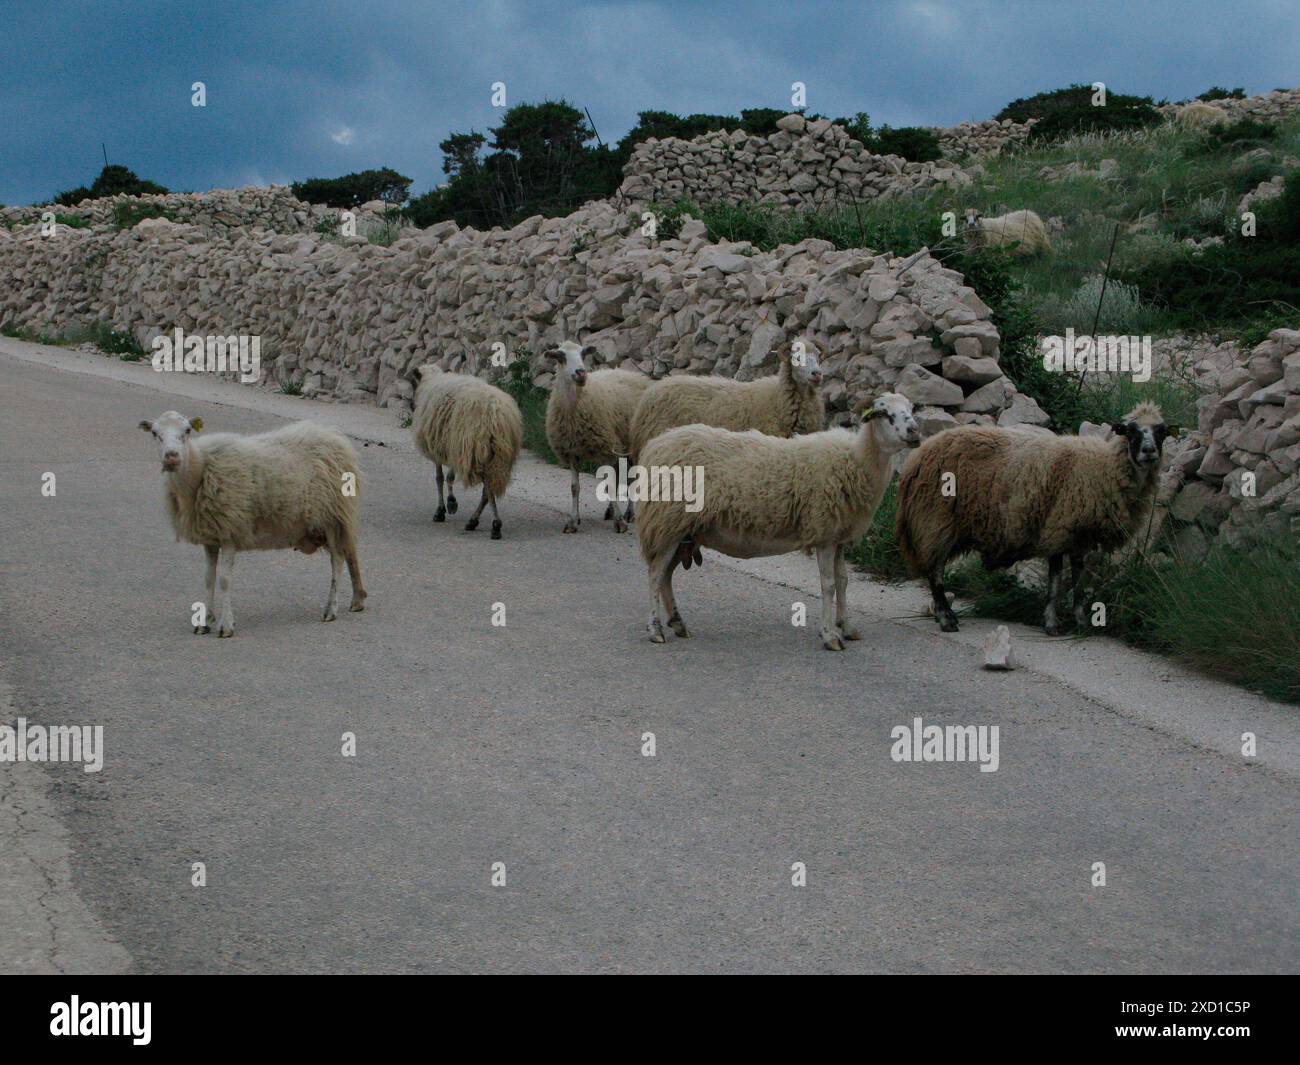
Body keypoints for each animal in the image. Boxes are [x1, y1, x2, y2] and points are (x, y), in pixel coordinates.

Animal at [138, 411, 366, 638]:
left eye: (187, 431)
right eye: (155, 433)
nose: (171, 457)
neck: (200, 468)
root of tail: (333, 434)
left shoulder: (230, 531)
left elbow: (224, 580)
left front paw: (225, 625)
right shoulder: (211, 536)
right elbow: (208, 578)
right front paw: (204, 620)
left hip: (332, 516)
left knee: (337, 560)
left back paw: (331, 609)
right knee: (347, 554)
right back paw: (356, 600)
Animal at [411, 366, 523, 540]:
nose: (410, 405)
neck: (430, 382)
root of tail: (498, 416)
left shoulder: (441, 448)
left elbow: (439, 478)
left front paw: (442, 510)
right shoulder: (455, 447)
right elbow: (449, 476)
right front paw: (451, 503)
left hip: (480, 453)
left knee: (488, 490)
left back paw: (494, 525)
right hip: (498, 457)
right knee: (487, 492)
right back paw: (474, 521)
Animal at [544, 341, 654, 533]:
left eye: (583, 354)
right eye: (560, 356)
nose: (581, 373)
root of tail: (630, 373)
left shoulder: (604, 448)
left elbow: (609, 485)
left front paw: (620, 522)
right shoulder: (572, 452)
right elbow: (575, 488)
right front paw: (573, 521)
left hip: (634, 443)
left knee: (633, 478)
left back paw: (629, 513)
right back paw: (610, 511)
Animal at [636, 393, 920, 650]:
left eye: (910, 408)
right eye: (884, 413)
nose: (915, 431)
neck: (857, 459)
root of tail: (656, 445)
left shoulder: (839, 536)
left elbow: (843, 581)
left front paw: (847, 627)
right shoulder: (824, 533)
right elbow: (828, 585)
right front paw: (829, 635)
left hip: (683, 531)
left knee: (665, 576)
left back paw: (677, 622)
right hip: (667, 524)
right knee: (655, 574)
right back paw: (655, 629)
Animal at [895, 402, 1169, 636]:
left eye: (1162, 432)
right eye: (1131, 431)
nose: (1149, 452)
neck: (1104, 468)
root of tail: (918, 456)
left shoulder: (1079, 536)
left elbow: (1079, 581)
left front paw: (1081, 621)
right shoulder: (1059, 527)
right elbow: (1056, 582)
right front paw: (1052, 623)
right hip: (936, 519)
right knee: (936, 573)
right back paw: (946, 619)